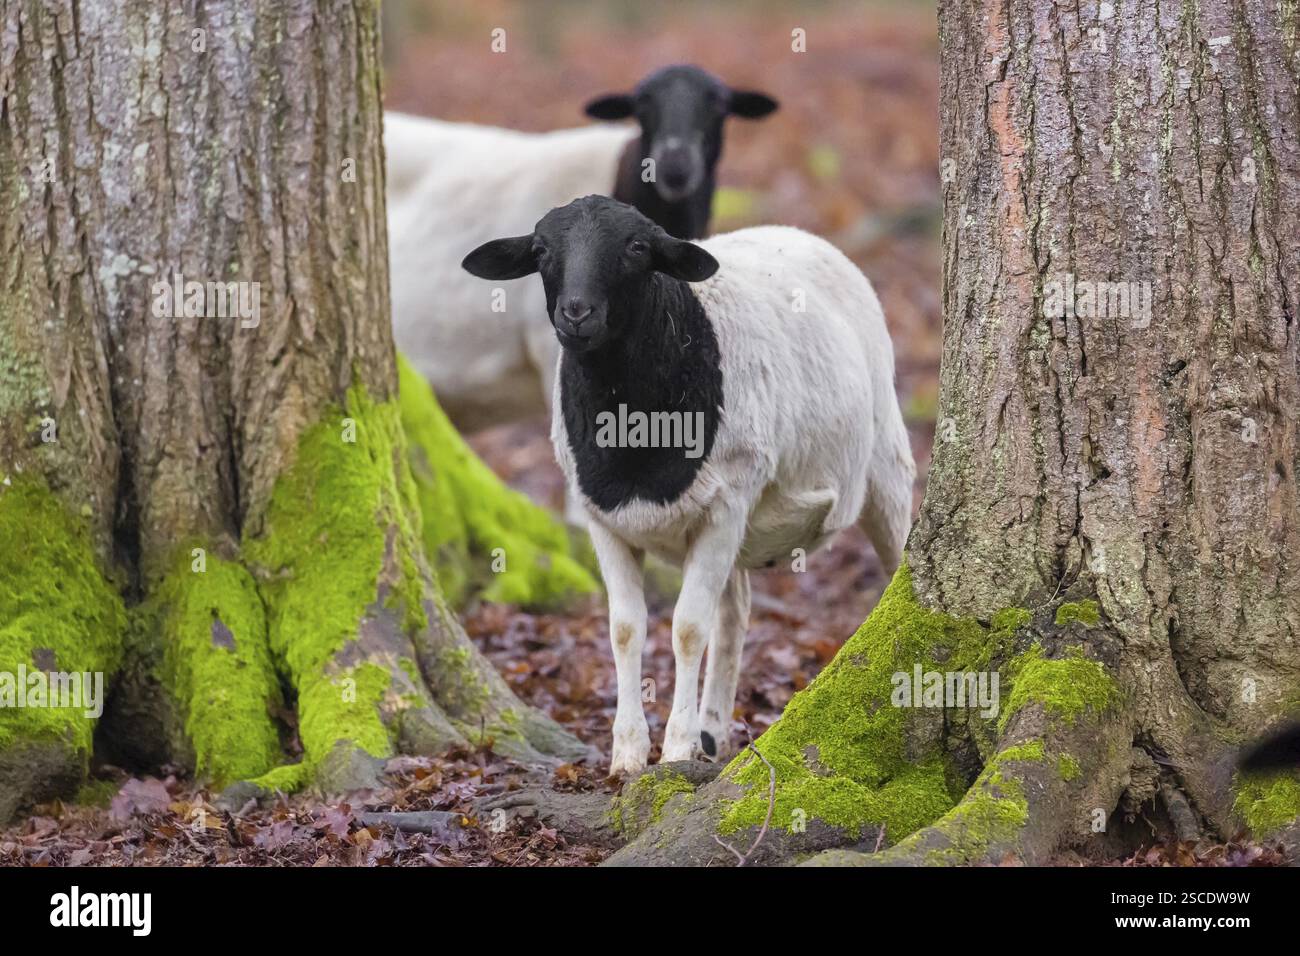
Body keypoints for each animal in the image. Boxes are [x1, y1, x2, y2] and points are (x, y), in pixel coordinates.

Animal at [462, 195, 915, 773]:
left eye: (637, 248)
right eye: (541, 250)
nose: (576, 312)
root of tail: (796, 233)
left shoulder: (725, 505)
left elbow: (686, 628)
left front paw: (675, 748)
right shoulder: (603, 519)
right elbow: (626, 629)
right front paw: (629, 754)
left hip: (882, 466)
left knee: (898, 567)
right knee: (736, 611)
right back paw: (713, 731)